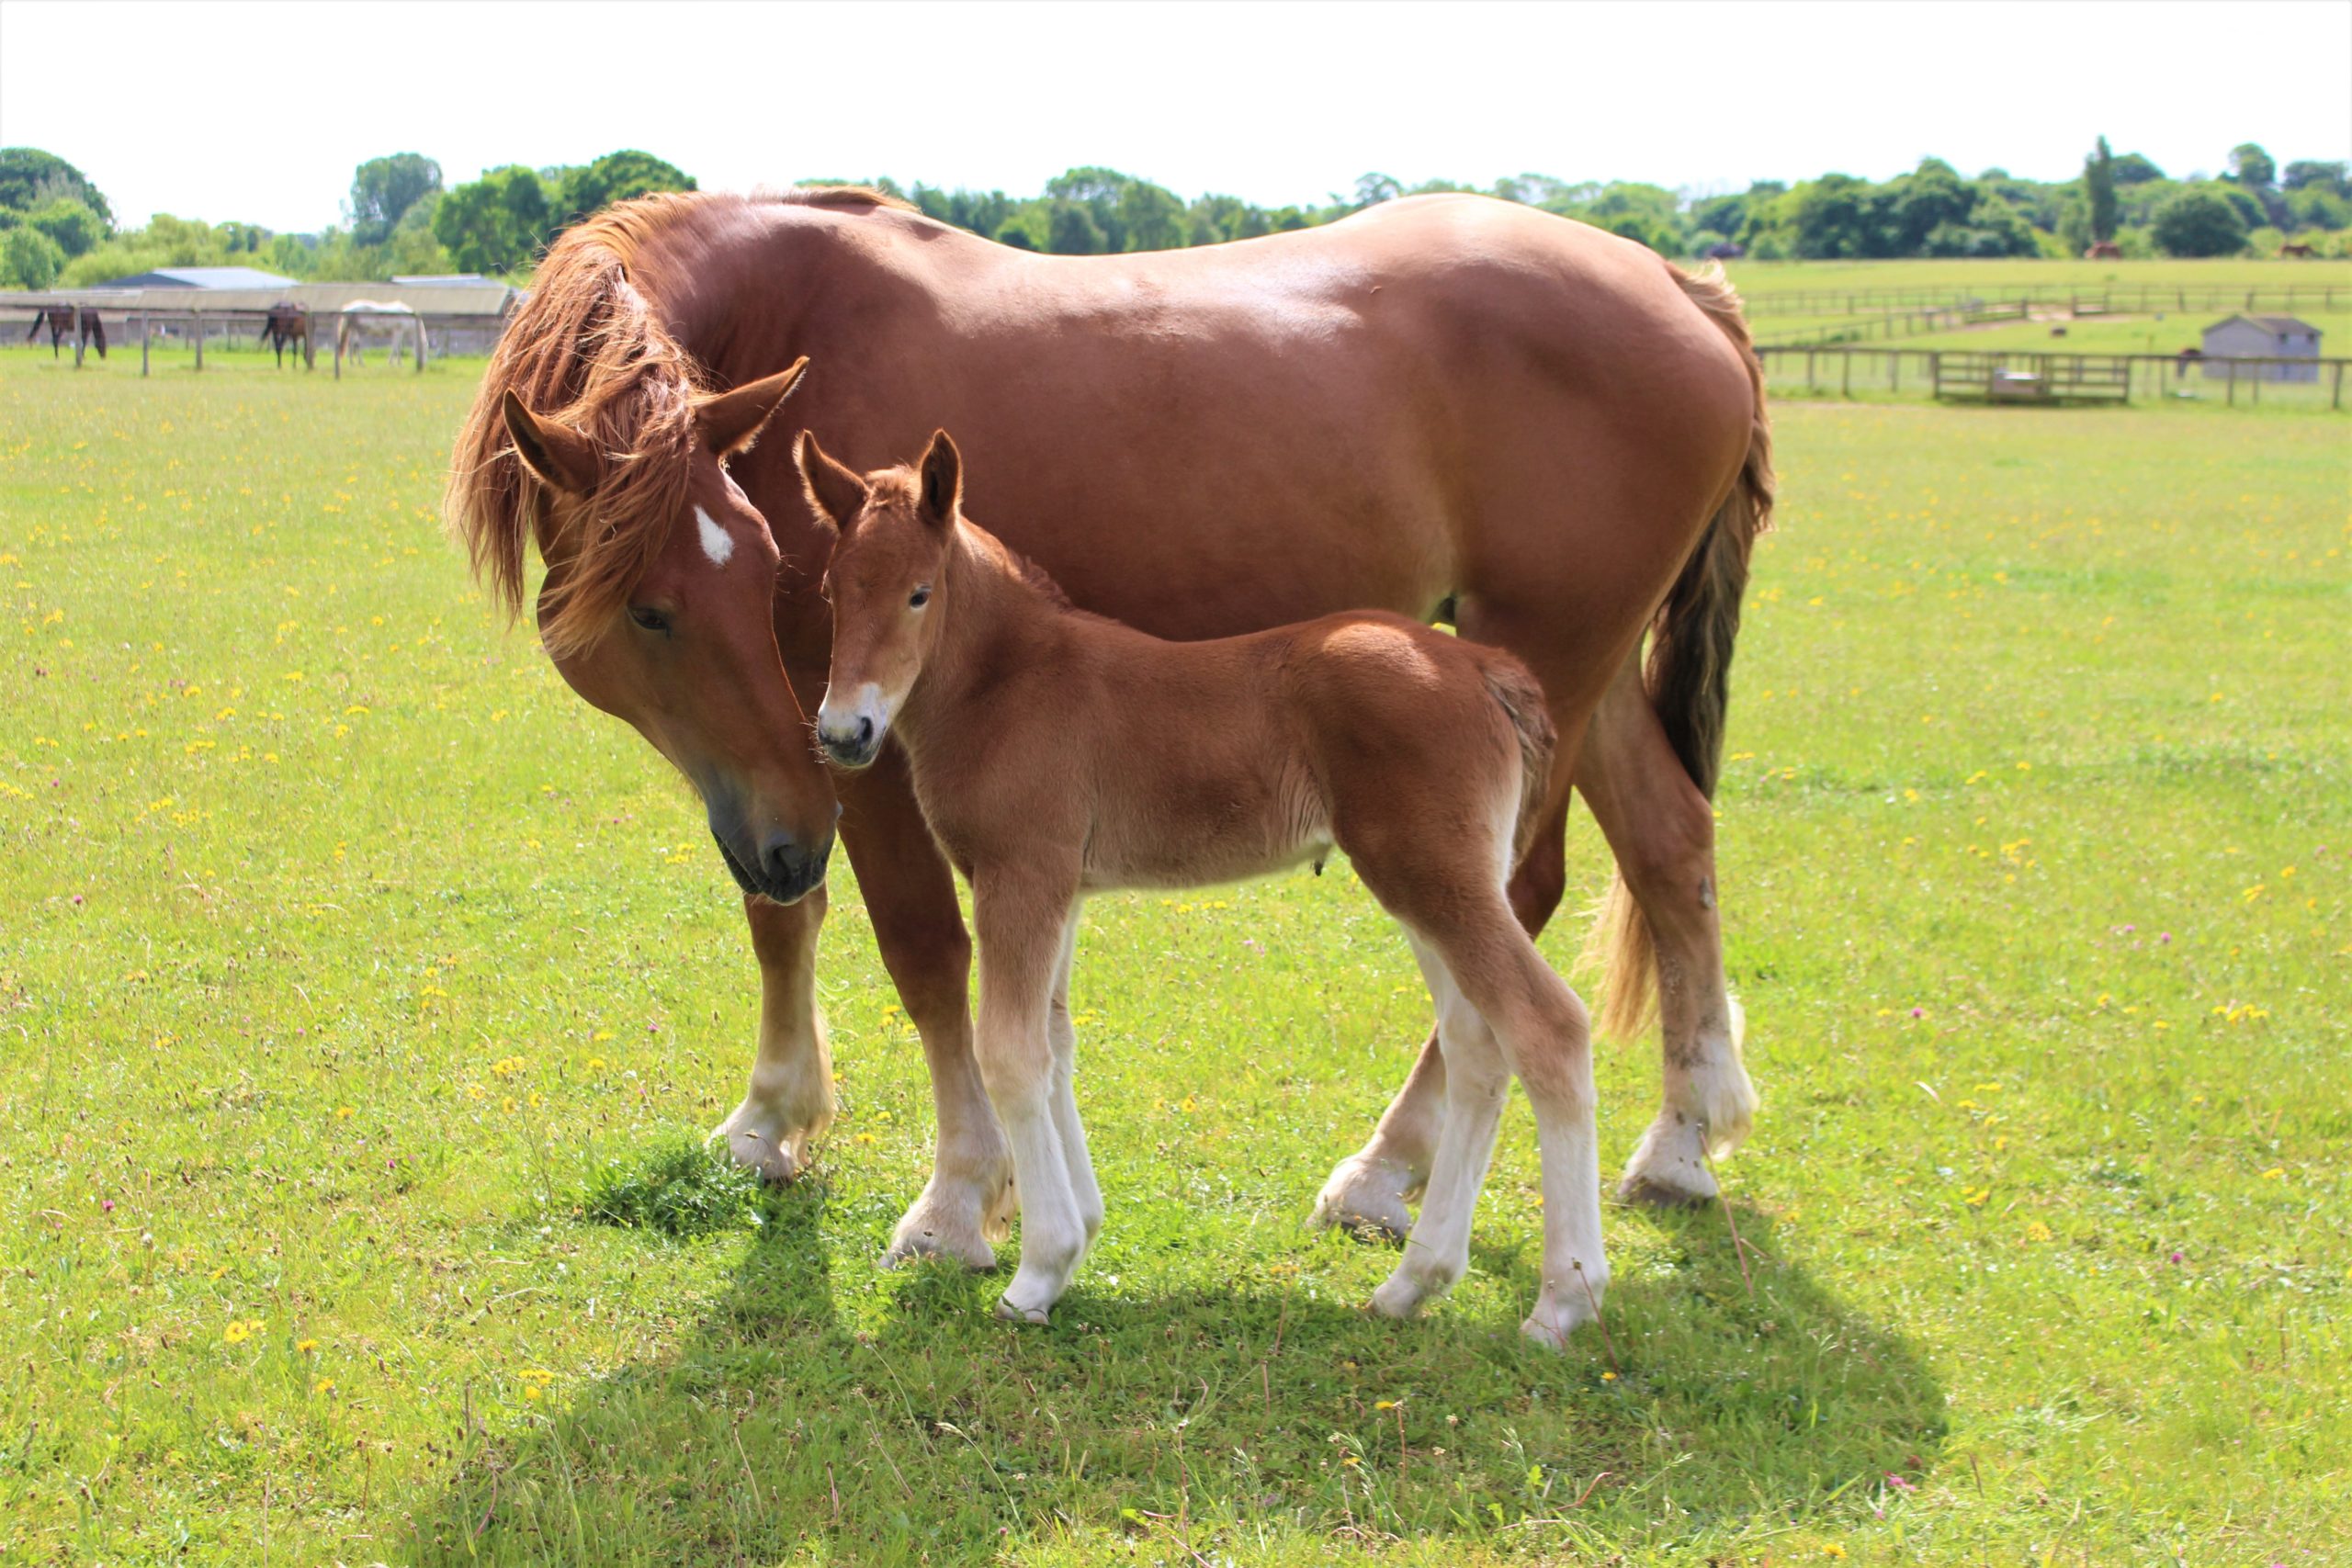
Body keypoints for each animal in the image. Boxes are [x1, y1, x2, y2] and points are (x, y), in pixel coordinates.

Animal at [800, 428, 1606, 1345]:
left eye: (919, 593)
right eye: (831, 590)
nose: (844, 732)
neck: (1010, 683)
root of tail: (1479, 666)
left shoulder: (1019, 873)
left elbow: (1010, 1051)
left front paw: (1037, 1273)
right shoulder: (1061, 886)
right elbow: (1057, 1043)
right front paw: (1079, 1237)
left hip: (1437, 878)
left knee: (1547, 1027)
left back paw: (1563, 1301)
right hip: (1433, 884)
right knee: (1477, 1044)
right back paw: (1411, 1284)